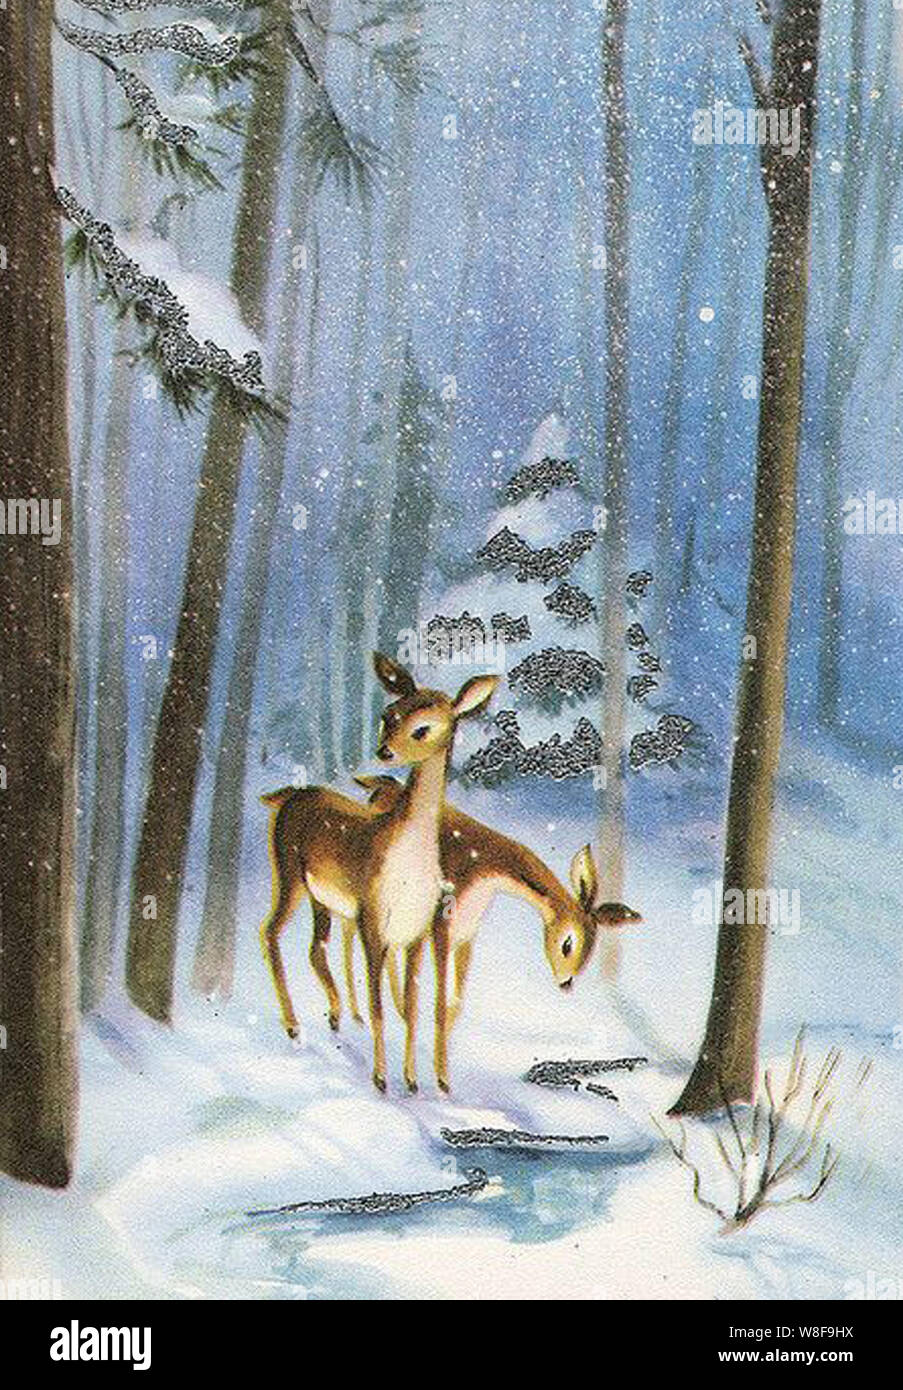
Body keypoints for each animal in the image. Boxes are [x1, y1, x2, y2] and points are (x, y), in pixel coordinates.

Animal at [259, 652, 499, 1094]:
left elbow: (412, 1003)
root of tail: (283, 797)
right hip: (287, 873)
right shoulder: (372, 920)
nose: (384, 751)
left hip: (320, 898)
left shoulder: (416, 931)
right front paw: (382, 1078)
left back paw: (334, 1017)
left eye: (424, 727)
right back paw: (294, 1027)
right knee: (269, 931)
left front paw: (413, 1080)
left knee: (315, 947)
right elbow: (379, 1006)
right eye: (389, 714)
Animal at [339, 774, 642, 1087]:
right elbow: (439, 1002)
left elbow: (455, 1003)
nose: (566, 983)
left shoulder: (467, 933)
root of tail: (380, 786)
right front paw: (441, 1078)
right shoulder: (440, 928)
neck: (482, 871)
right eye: (567, 944)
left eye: (591, 951)